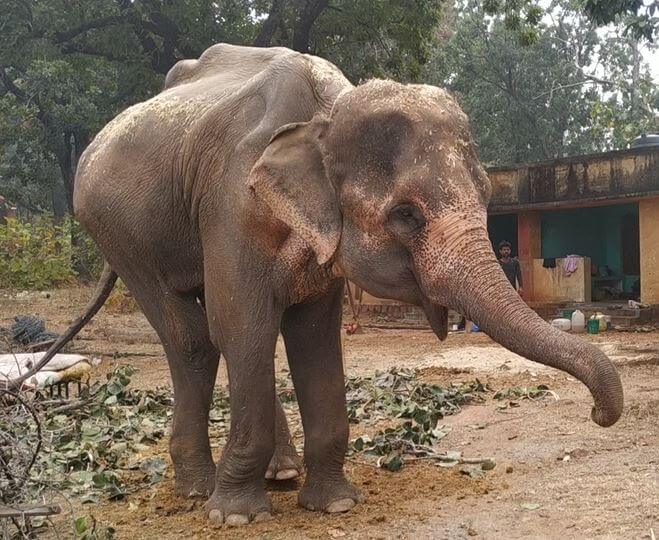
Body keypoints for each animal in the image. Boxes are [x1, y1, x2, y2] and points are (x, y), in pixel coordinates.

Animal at [26, 43, 622, 526]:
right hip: (117, 229)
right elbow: (243, 324)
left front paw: (334, 504)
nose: (598, 415)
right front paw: (235, 516)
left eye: (486, 192)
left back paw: (279, 475)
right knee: (196, 338)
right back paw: (198, 490)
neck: (329, 111)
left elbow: (312, 335)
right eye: (406, 215)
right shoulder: (231, 207)